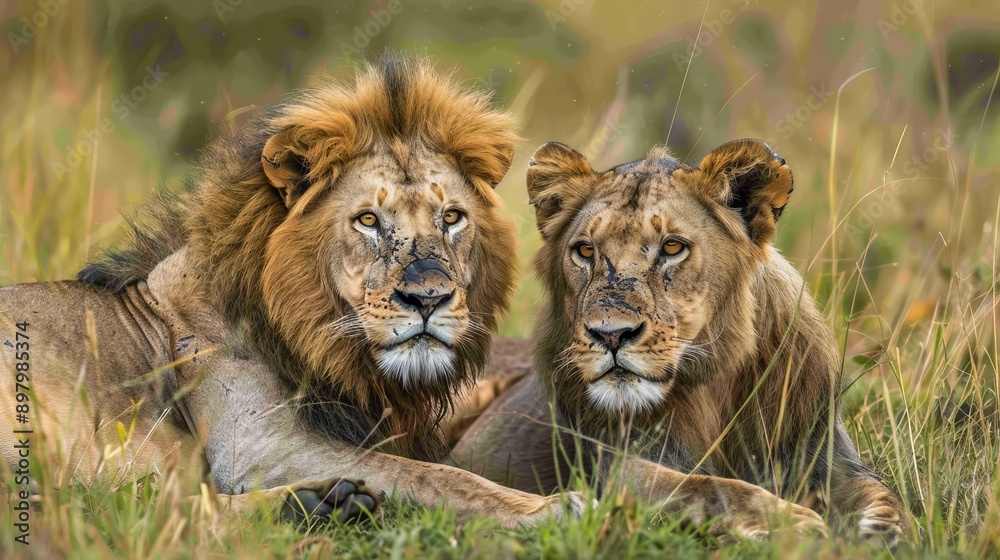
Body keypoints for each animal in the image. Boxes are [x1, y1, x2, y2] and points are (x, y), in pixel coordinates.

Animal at [0, 55, 586, 528]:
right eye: (367, 220)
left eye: (452, 217)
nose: (428, 299)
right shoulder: (256, 445)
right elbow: (431, 475)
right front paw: (549, 508)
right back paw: (318, 504)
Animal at [451, 139, 908, 543]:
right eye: (584, 251)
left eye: (672, 247)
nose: (610, 333)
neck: (712, 387)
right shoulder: (621, 466)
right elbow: (710, 486)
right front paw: (788, 523)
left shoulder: (824, 454)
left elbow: (883, 494)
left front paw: (882, 532)